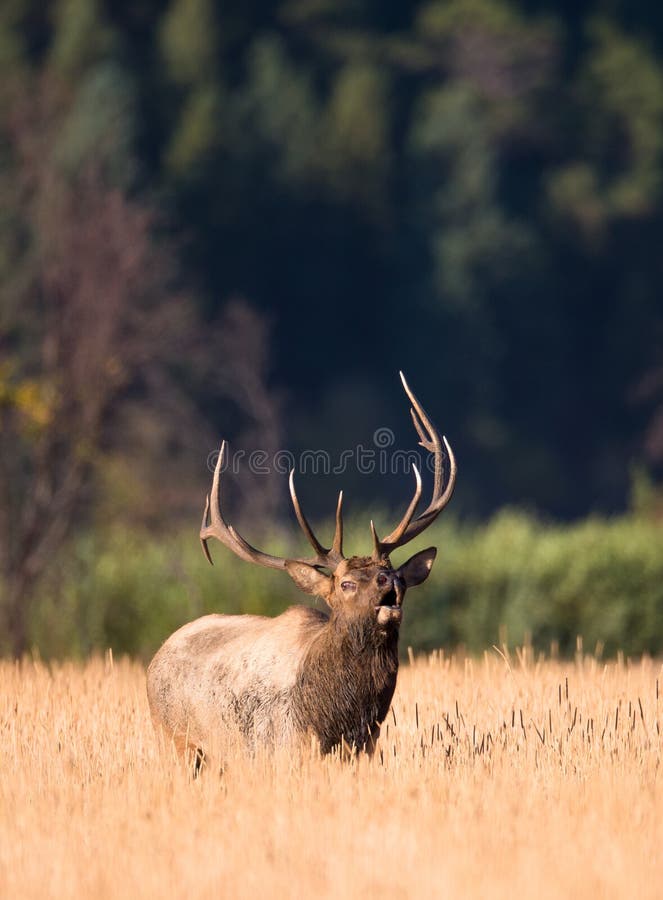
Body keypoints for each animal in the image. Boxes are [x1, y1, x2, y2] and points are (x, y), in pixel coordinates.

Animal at [146, 373, 456, 765]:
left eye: (398, 574)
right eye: (346, 584)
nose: (389, 582)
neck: (338, 720)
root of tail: (156, 658)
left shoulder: (365, 750)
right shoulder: (280, 750)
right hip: (175, 741)